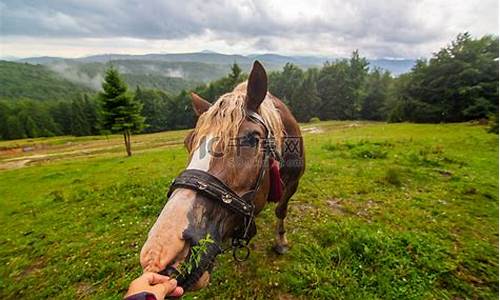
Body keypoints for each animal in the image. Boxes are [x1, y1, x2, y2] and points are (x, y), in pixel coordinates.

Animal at [139, 61, 306, 290]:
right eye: (188, 142)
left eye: (252, 139)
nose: (162, 251)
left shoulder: (293, 184)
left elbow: (281, 210)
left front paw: (280, 241)